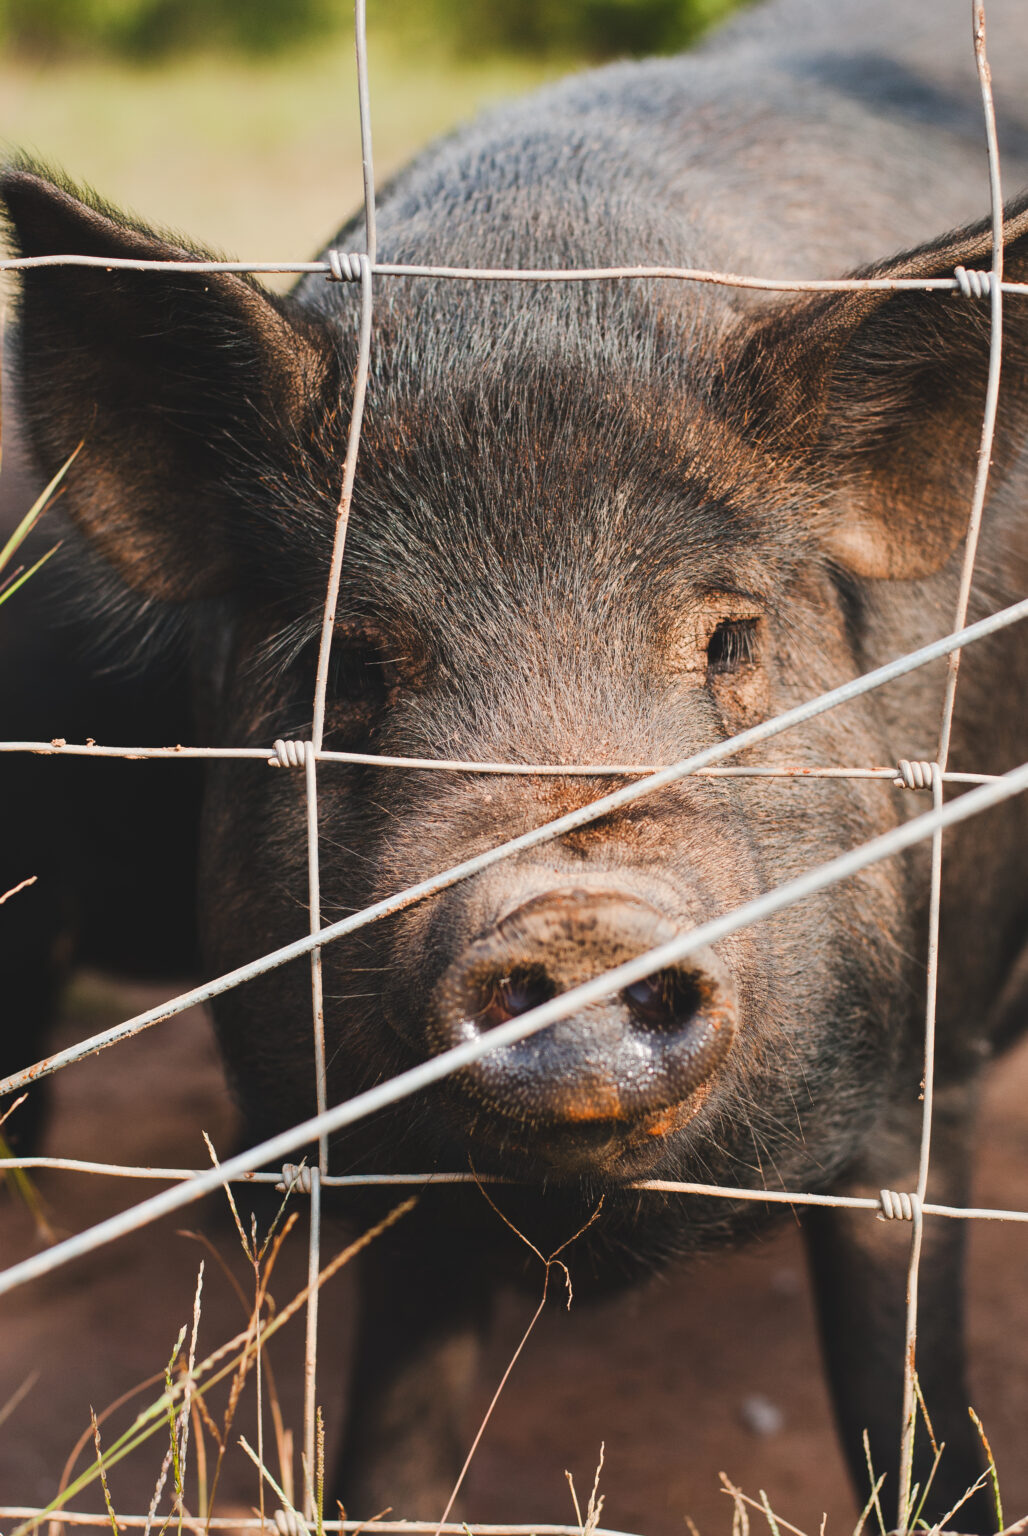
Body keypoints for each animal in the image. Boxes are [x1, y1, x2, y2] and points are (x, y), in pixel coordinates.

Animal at [2, 0, 1028, 1523]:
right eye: (350, 664)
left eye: (732, 636)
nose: (575, 915)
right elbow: (390, 1447)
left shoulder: (928, 1076)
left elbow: (906, 1407)